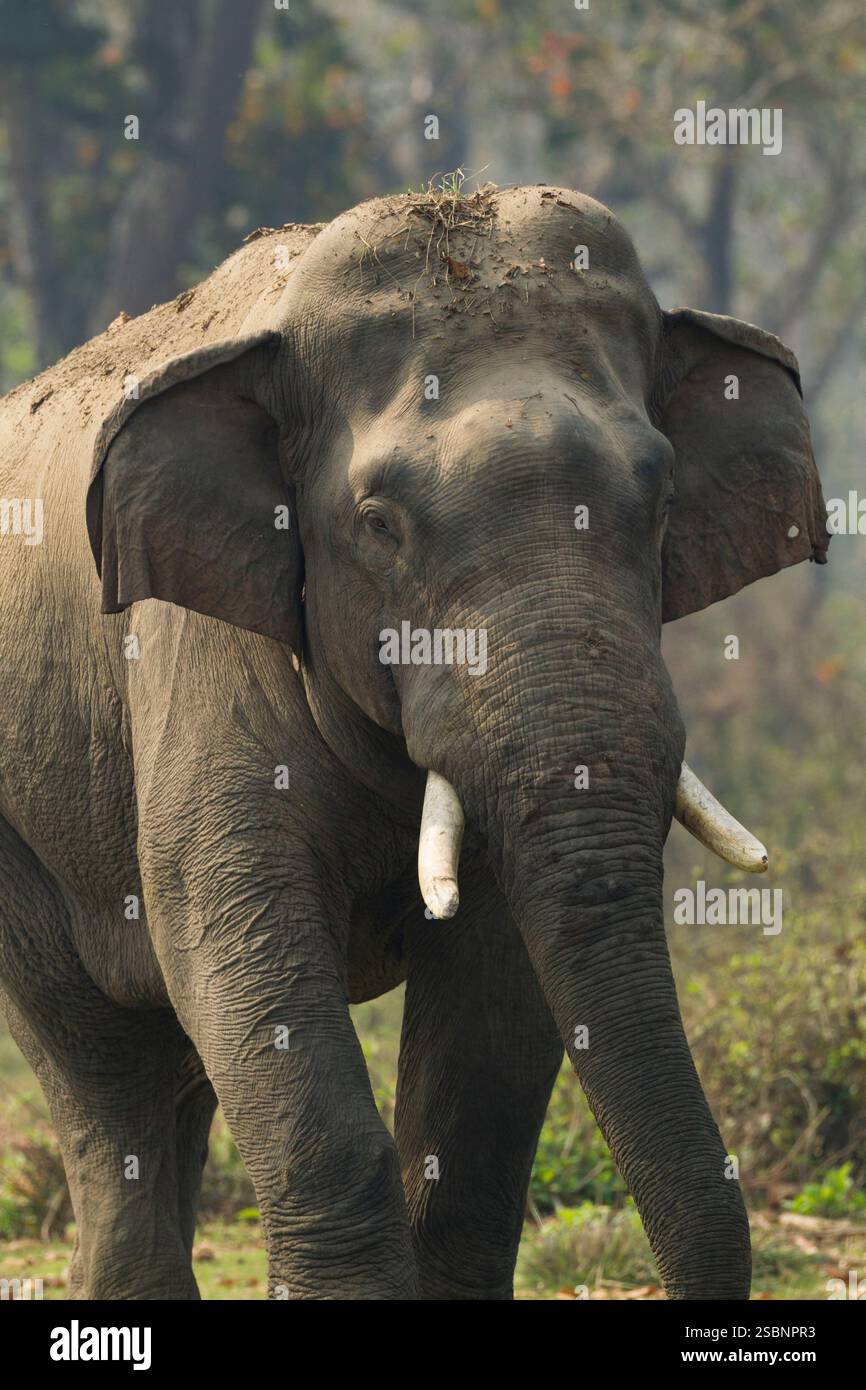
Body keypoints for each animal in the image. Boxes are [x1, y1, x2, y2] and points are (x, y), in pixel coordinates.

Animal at [0, 183, 828, 1300]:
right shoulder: (198, 664)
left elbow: (496, 1003)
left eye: (658, 500)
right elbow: (236, 948)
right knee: (103, 1061)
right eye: (380, 524)